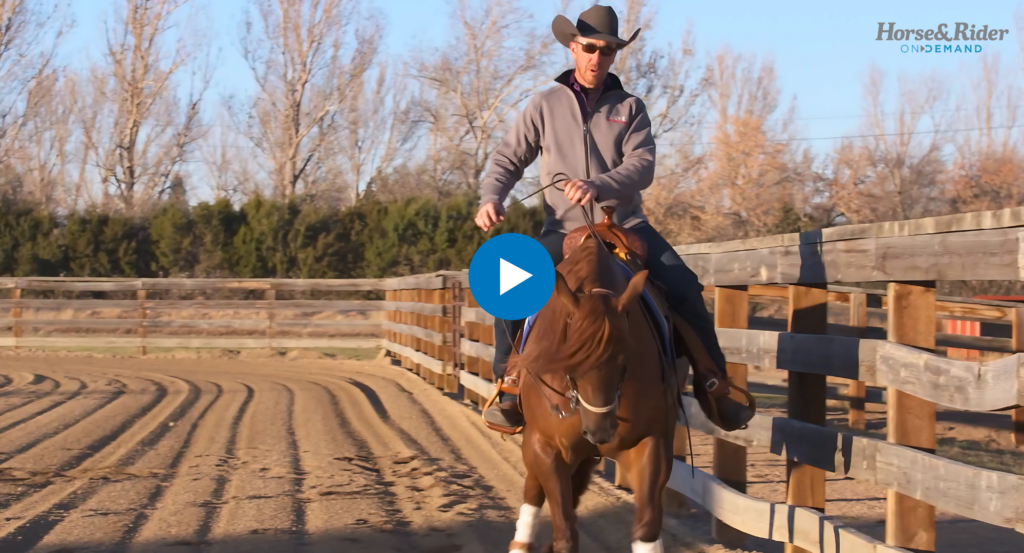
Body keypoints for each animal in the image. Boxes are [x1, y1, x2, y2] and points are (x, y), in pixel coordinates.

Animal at [502, 234, 680, 553]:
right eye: (570, 360)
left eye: (624, 360)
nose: (600, 431)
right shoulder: (544, 447)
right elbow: (564, 532)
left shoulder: (652, 444)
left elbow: (646, 529)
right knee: (534, 492)